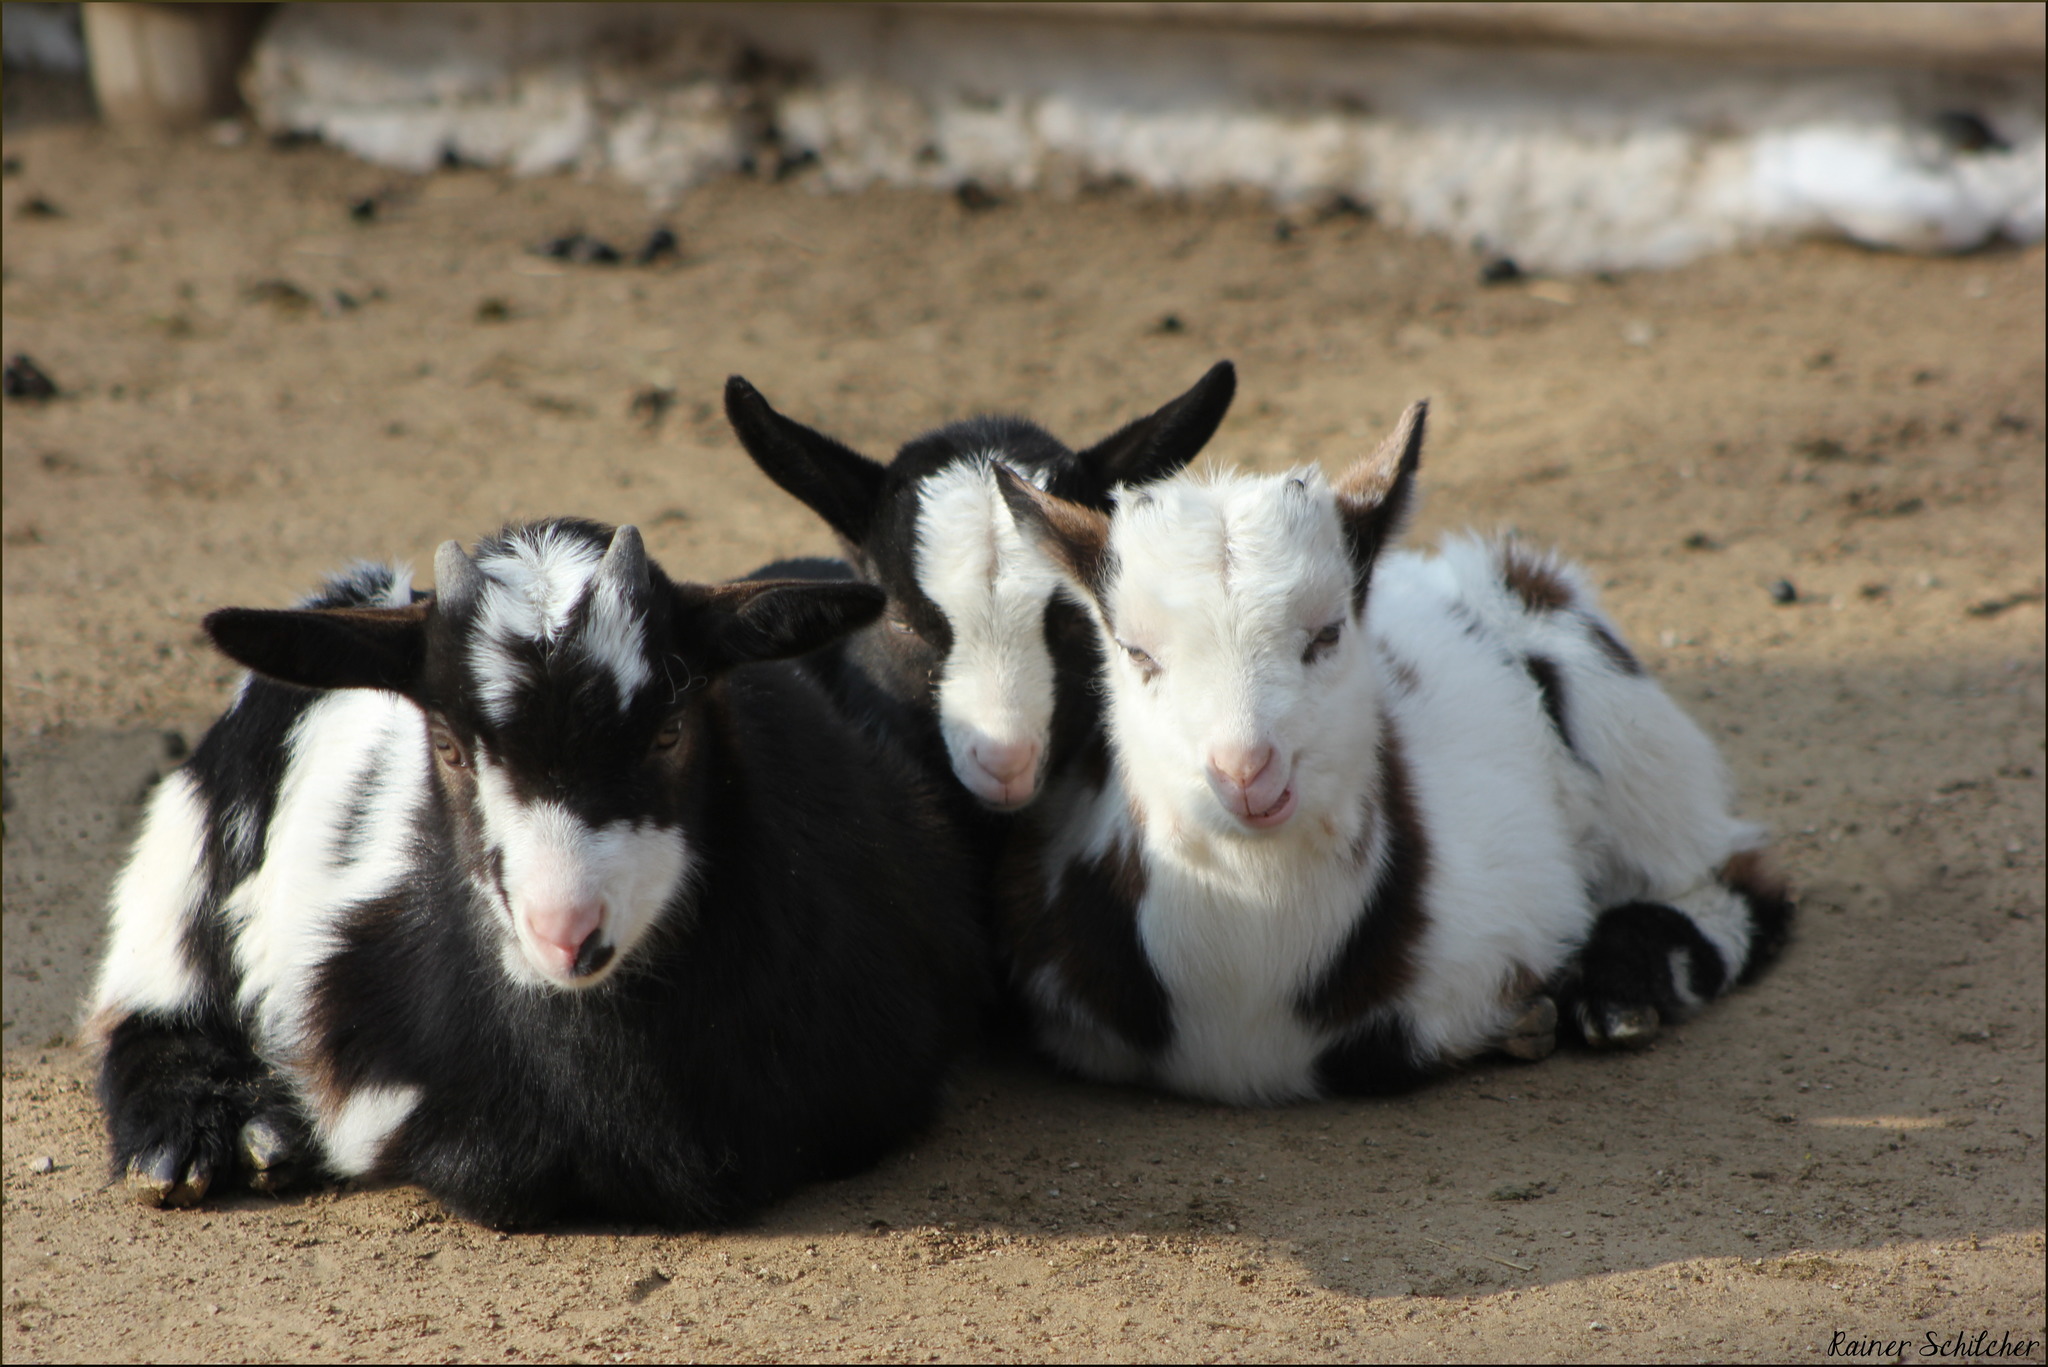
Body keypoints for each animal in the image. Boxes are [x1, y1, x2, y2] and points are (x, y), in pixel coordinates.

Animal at [995, 403, 1791, 1104]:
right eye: (1137, 652)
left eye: (1327, 634)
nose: (1246, 770)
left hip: (1608, 703)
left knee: (1734, 873)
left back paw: (1620, 988)